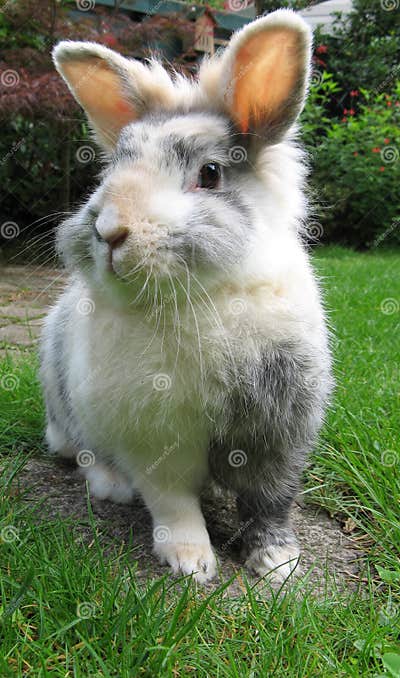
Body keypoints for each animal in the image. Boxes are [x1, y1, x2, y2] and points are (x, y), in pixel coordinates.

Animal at [40, 9, 333, 584]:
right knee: (81, 450)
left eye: (210, 173)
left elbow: (271, 501)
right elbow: (173, 503)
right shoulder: (154, 442)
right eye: (112, 169)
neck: (202, 298)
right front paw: (191, 562)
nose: (109, 231)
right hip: (68, 403)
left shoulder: (280, 430)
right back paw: (111, 485)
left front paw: (278, 563)